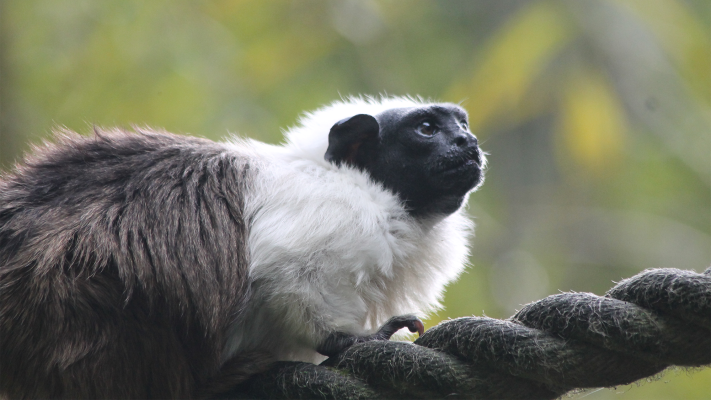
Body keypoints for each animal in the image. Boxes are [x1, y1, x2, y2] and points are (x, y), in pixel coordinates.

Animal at [0, 96, 485, 398]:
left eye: (461, 125)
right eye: (427, 129)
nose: (469, 142)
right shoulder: (332, 217)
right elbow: (287, 279)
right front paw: (351, 339)